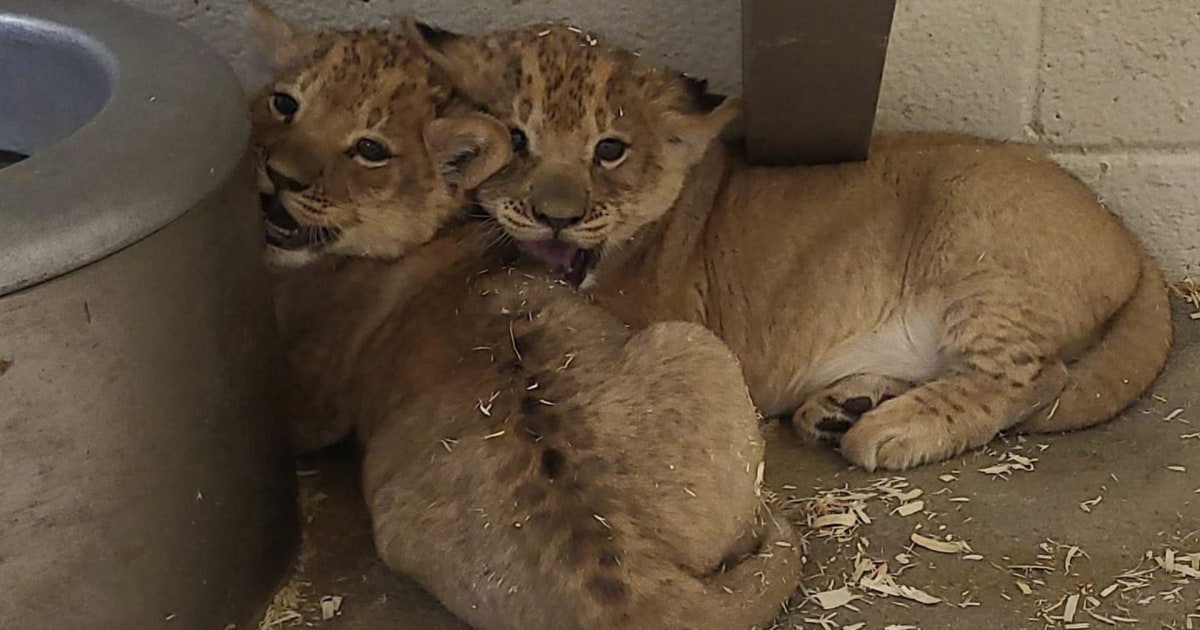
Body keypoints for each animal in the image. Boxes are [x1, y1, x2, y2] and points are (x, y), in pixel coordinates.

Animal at [249, 4, 802, 628]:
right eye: (285, 103)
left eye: (370, 149)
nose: (279, 176)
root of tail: (622, 578)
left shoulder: (311, 399)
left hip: (694, 342)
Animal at [407, 23, 1173, 472]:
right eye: (516, 138)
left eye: (610, 150)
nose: (555, 218)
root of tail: (1134, 240)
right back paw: (844, 407)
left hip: (980, 254)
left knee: (1035, 376)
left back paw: (886, 430)